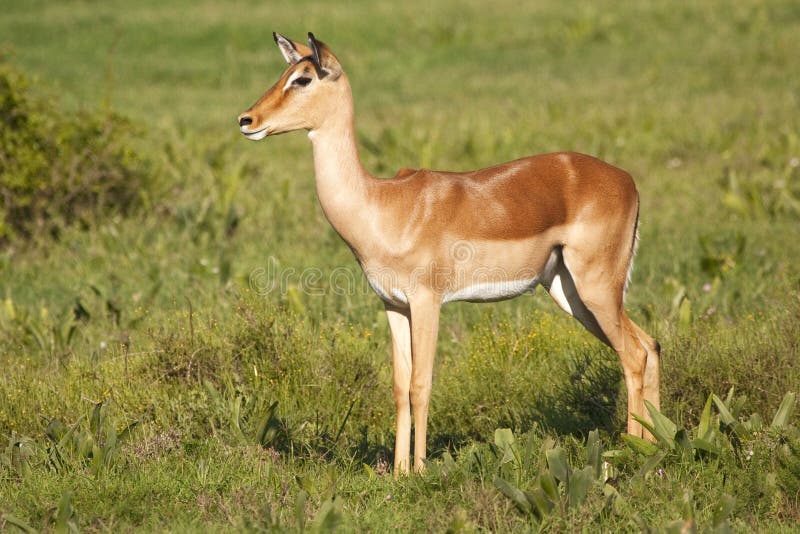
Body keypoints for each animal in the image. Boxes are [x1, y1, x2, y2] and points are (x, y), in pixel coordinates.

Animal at [237, 33, 660, 475]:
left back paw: (631, 453)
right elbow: (399, 386)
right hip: (569, 291)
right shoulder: (393, 305)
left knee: (633, 354)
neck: (383, 206)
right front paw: (399, 473)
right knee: (650, 345)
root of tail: (628, 181)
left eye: (303, 78)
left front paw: (420, 471)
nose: (246, 120)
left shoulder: (427, 301)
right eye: (283, 72)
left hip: (596, 289)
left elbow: (421, 384)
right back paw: (653, 447)